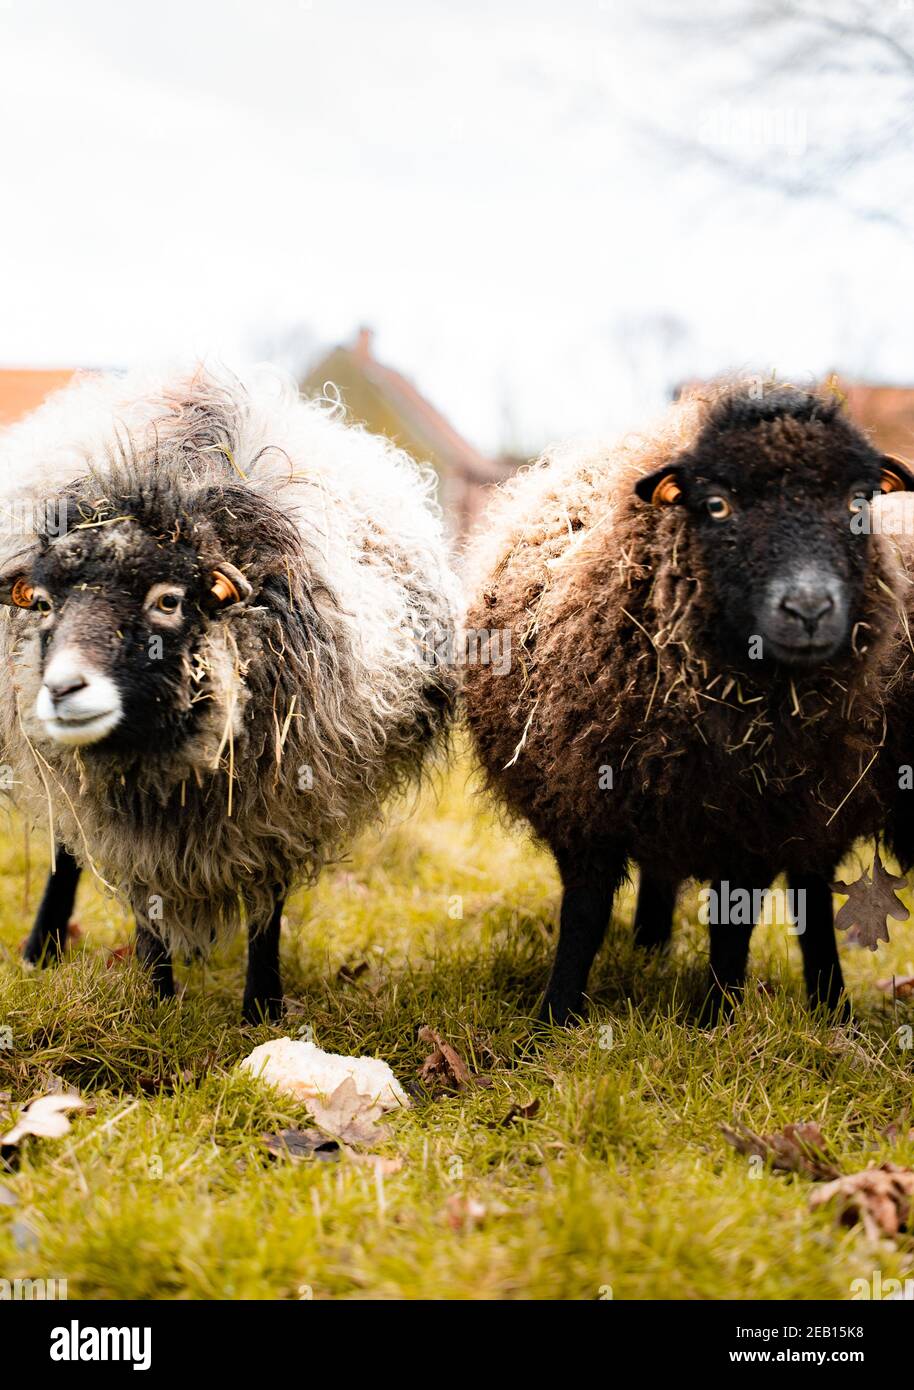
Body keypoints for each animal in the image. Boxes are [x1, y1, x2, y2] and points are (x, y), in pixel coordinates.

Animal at [0, 364, 459, 1020]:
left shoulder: (283, 800)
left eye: (168, 600)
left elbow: (268, 907)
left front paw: (262, 1009)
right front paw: (157, 1004)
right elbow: (146, 909)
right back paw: (42, 949)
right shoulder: (124, 823)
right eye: (42, 604)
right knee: (67, 851)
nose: (62, 689)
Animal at [462, 380, 914, 1025]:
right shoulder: (586, 804)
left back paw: (832, 1009)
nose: (808, 610)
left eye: (859, 501)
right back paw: (651, 951)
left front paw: (717, 1019)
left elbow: (737, 922)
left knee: (810, 897)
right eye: (717, 505)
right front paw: (554, 1019)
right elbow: (584, 915)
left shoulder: (762, 823)